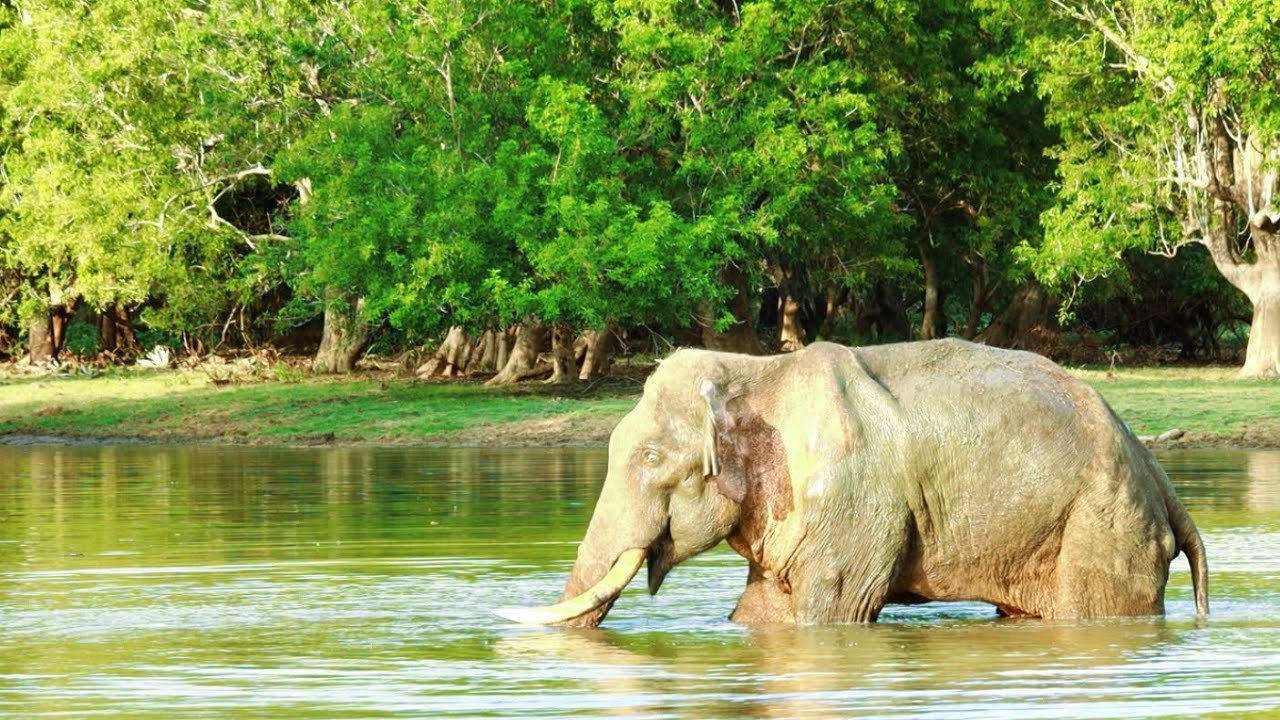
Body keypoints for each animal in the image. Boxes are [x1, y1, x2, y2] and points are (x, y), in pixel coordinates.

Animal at [495, 339, 1209, 626]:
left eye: (647, 455)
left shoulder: (853, 501)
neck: (759, 370)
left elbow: (831, 611)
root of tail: (1157, 472)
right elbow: (762, 612)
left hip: (1103, 529)